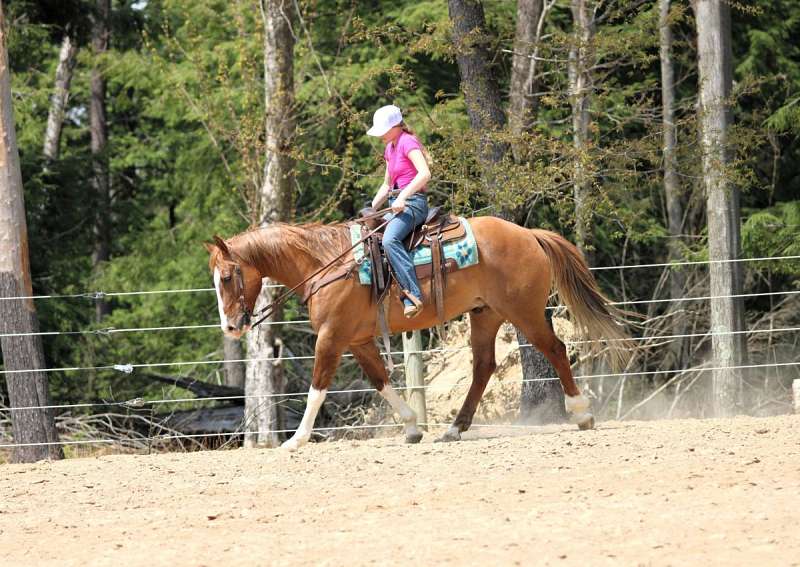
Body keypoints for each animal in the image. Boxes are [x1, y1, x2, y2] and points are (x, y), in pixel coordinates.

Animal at [205, 215, 630, 451]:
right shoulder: (357, 340)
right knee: (483, 367)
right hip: (486, 315)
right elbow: (381, 380)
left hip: (523, 311)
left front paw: (296, 439)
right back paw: (454, 429)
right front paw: (411, 427)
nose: (230, 326)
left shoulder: (331, 337)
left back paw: (581, 413)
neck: (327, 264)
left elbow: (316, 389)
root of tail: (529, 234)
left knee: (555, 349)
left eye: (226, 277)